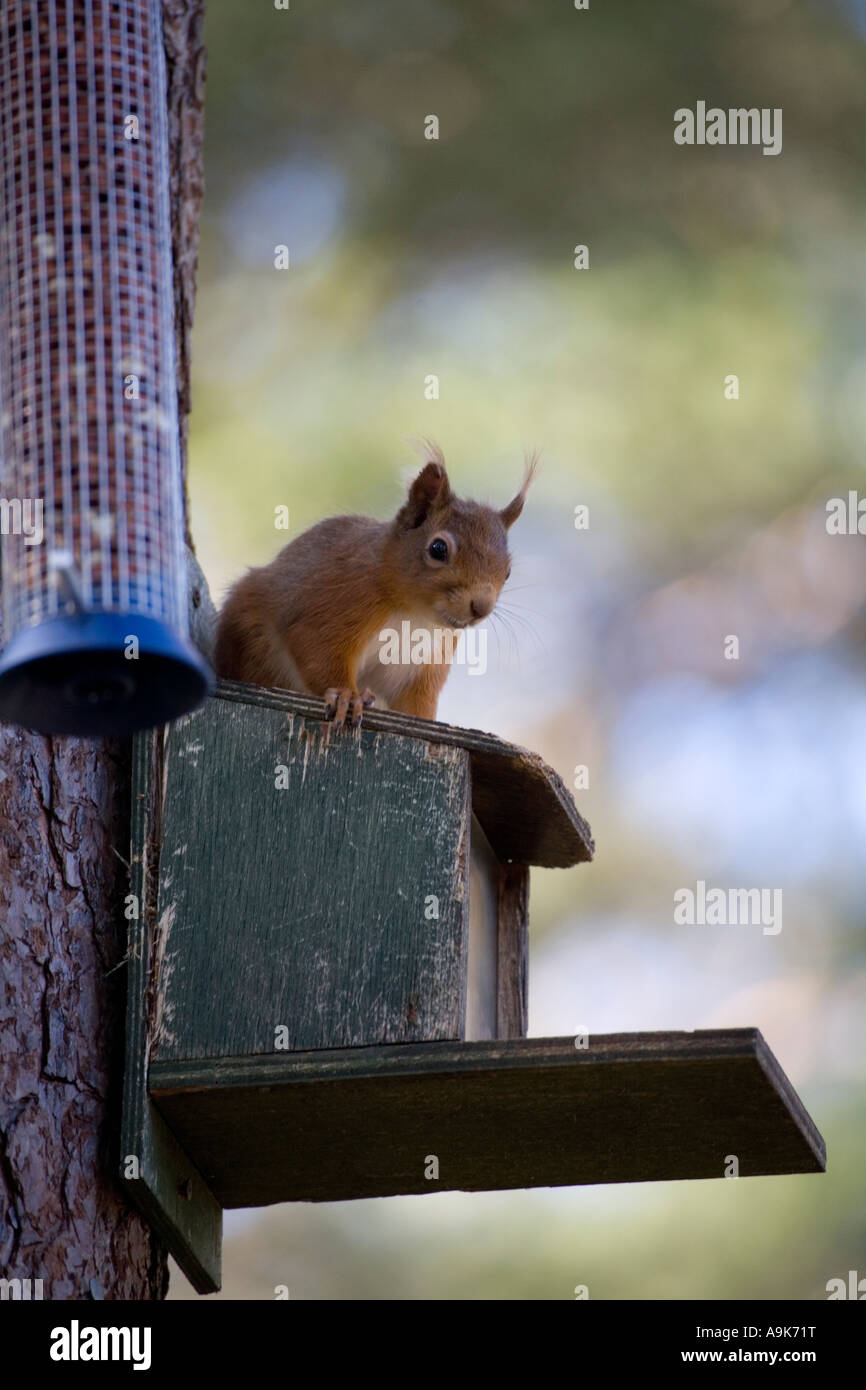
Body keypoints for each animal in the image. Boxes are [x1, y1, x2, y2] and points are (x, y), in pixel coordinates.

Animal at [214, 443, 536, 727]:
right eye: (438, 549)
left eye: (508, 572)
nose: (481, 607)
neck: (414, 614)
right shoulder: (337, 600)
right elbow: (316, 647)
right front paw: (346, 697)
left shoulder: (423, 664)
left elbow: (416, 705)